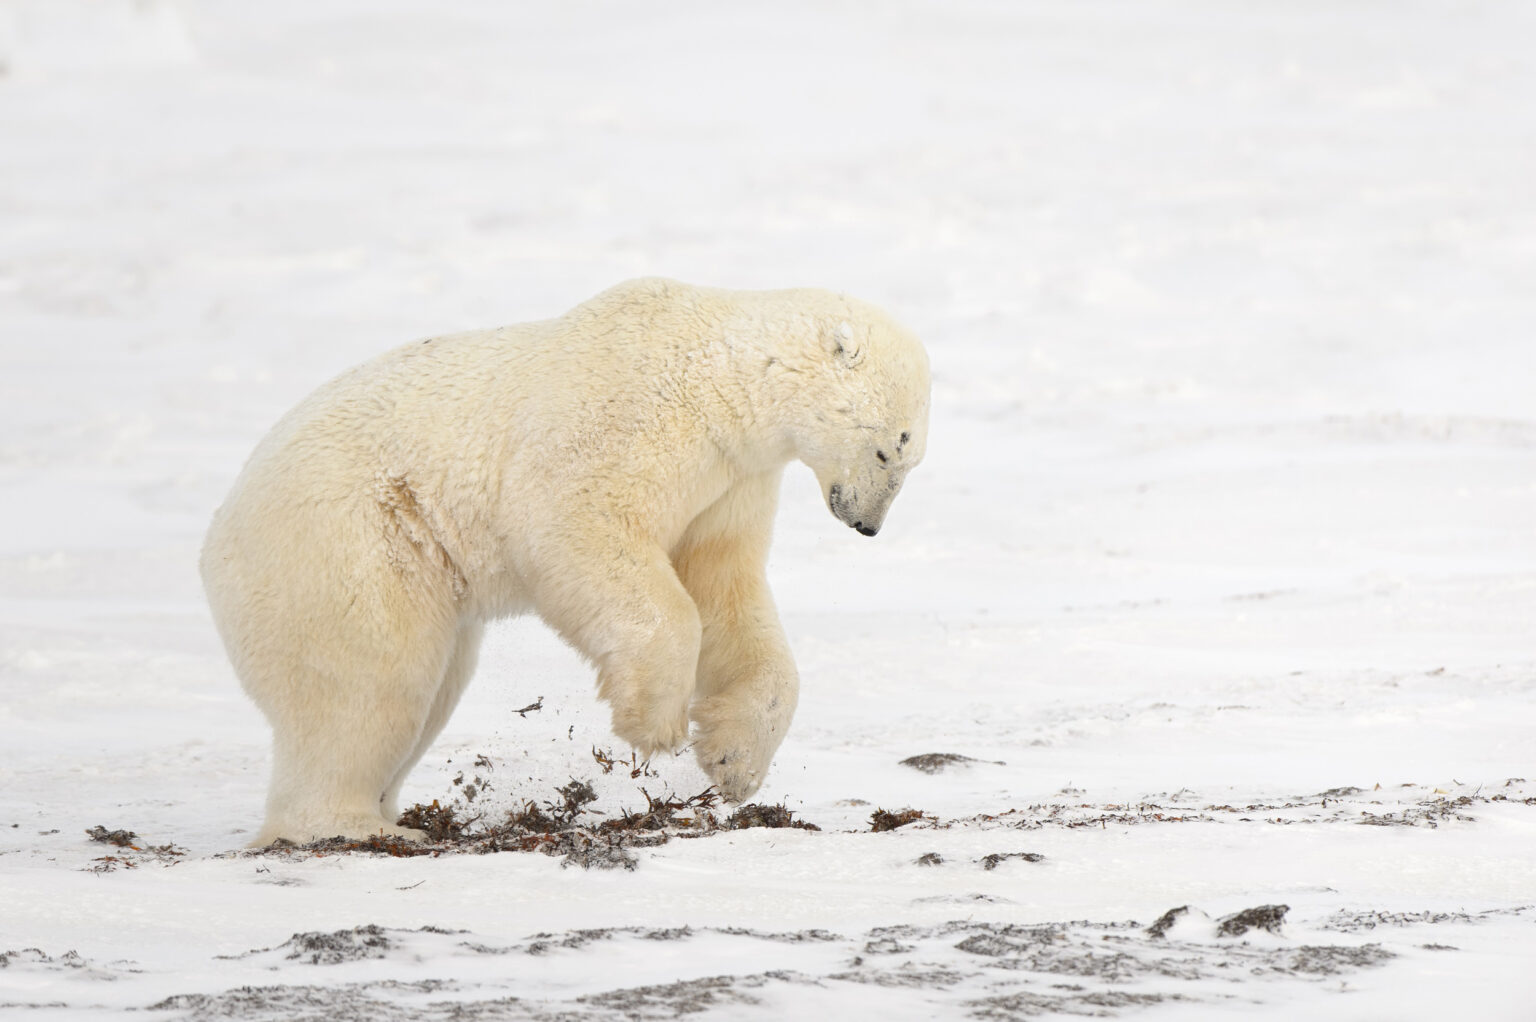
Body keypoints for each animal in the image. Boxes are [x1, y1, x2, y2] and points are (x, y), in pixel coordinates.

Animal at [200, 278, 930, 844]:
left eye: (912, 456)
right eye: (889, 447)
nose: (866, 525)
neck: (715, 376)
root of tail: (215, 540)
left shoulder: (728, 481)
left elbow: (724, 589)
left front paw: (732, 761)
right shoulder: (627, 416)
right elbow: (580, 528)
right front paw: (652, 725)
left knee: (429, 687)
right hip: (351, 540)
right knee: (367, 678)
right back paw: (353, 825)